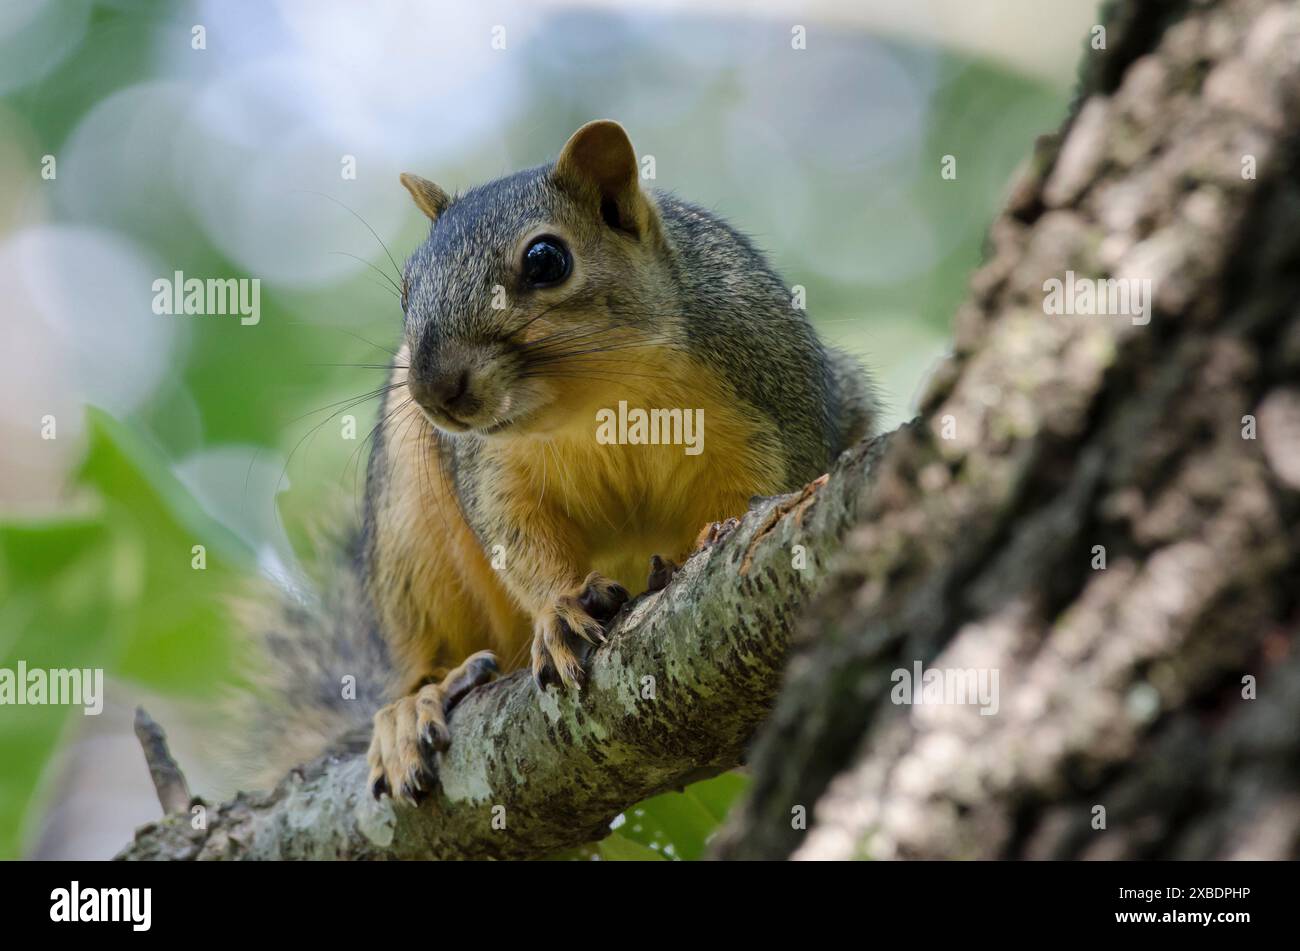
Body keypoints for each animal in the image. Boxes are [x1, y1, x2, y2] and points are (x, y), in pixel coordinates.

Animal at [236, 121, 876, 804]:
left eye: (546, 260)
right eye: (407, 288)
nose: (434, 389)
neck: (601, 398)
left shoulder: (772, 397)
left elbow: (774, 490)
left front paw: (723, 531)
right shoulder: (493, 468)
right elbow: (519, 541)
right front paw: (559, 611)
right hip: (409, 531)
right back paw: (412, 707)